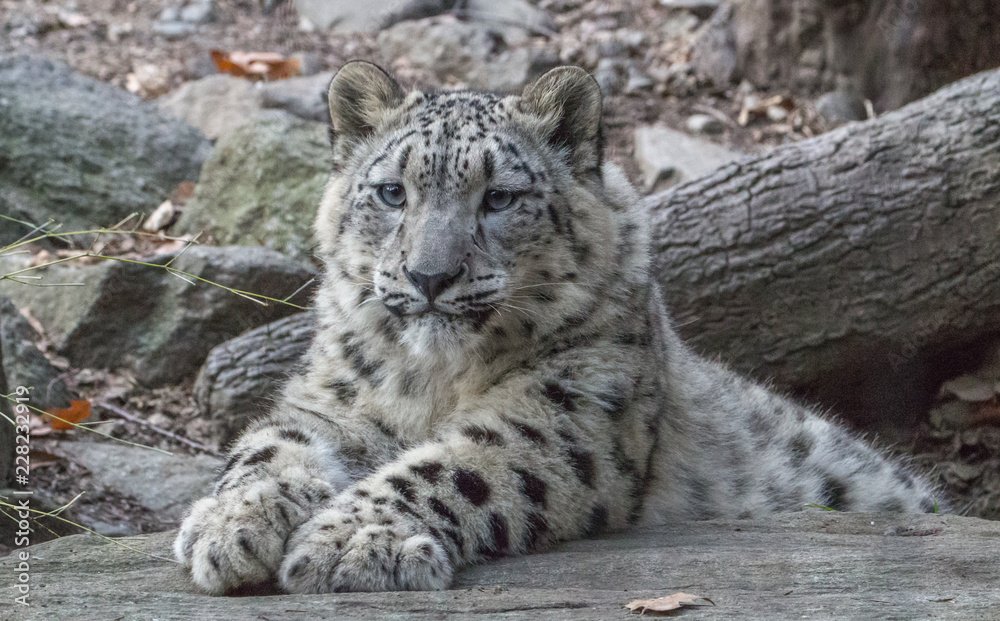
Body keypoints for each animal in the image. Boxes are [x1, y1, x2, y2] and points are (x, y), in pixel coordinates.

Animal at [174, 61, 942, 595]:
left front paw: (354, 544)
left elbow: (451, 466)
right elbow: (268, 445)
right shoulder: (333, 403)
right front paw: (230, 524)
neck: (432, 380)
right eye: (392, 192)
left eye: (499, 197)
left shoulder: (564, 415)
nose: (428, 276)